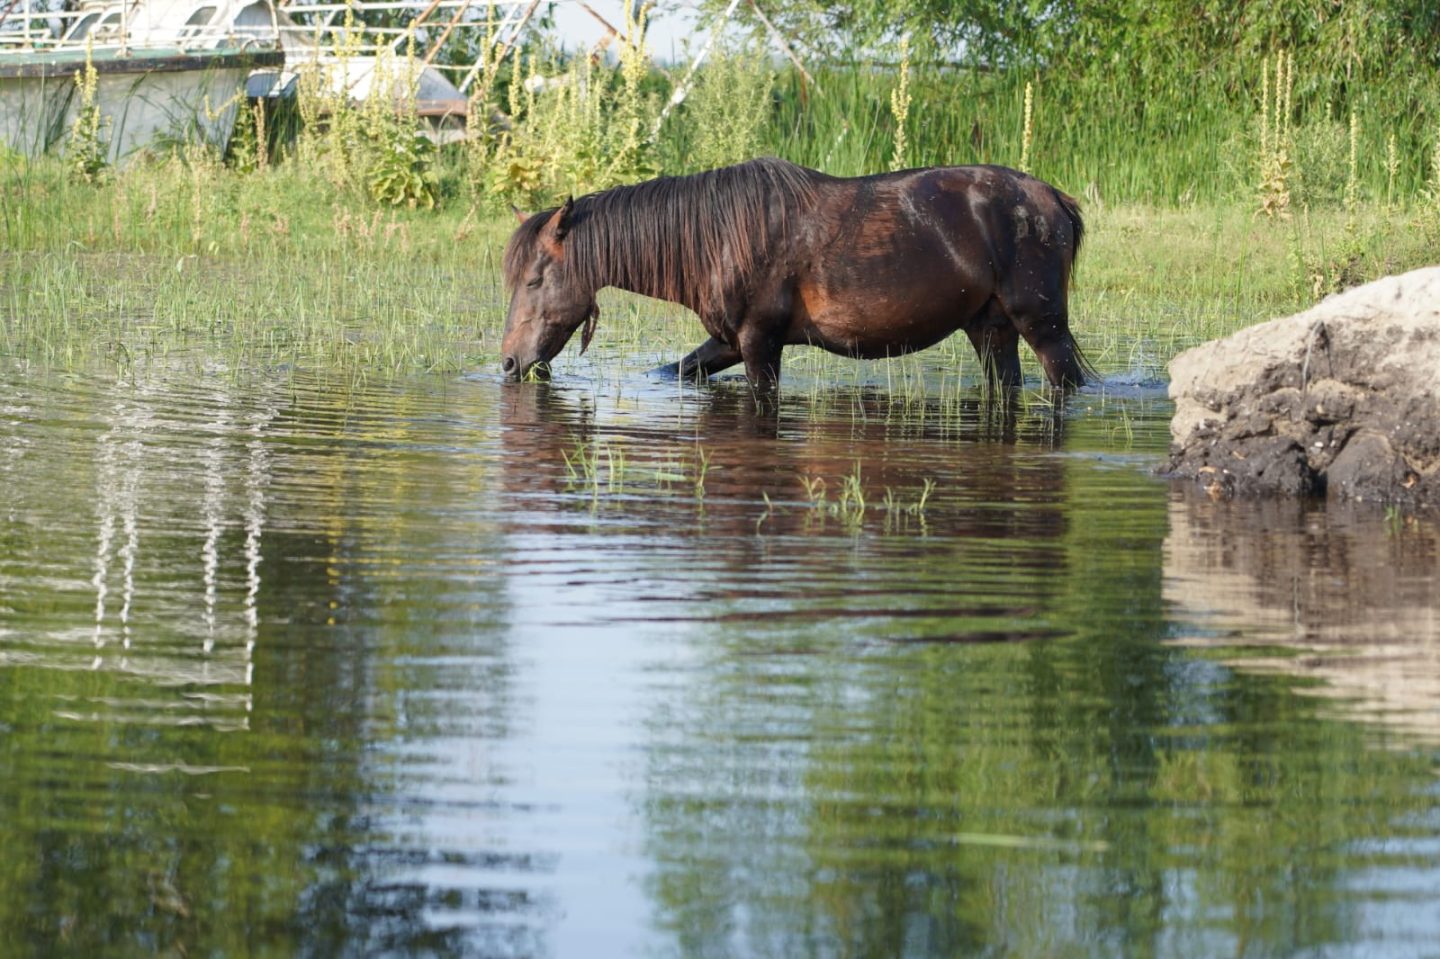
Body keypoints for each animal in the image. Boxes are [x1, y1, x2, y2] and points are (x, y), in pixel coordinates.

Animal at [500, 157, 1094, 392]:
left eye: (534, 281)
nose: (508, 363)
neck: (716, 238)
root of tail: (1053, 199)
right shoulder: (727, 342)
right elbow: (675, 372)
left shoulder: (759, 343)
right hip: (990, 330)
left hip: (1043, 327)